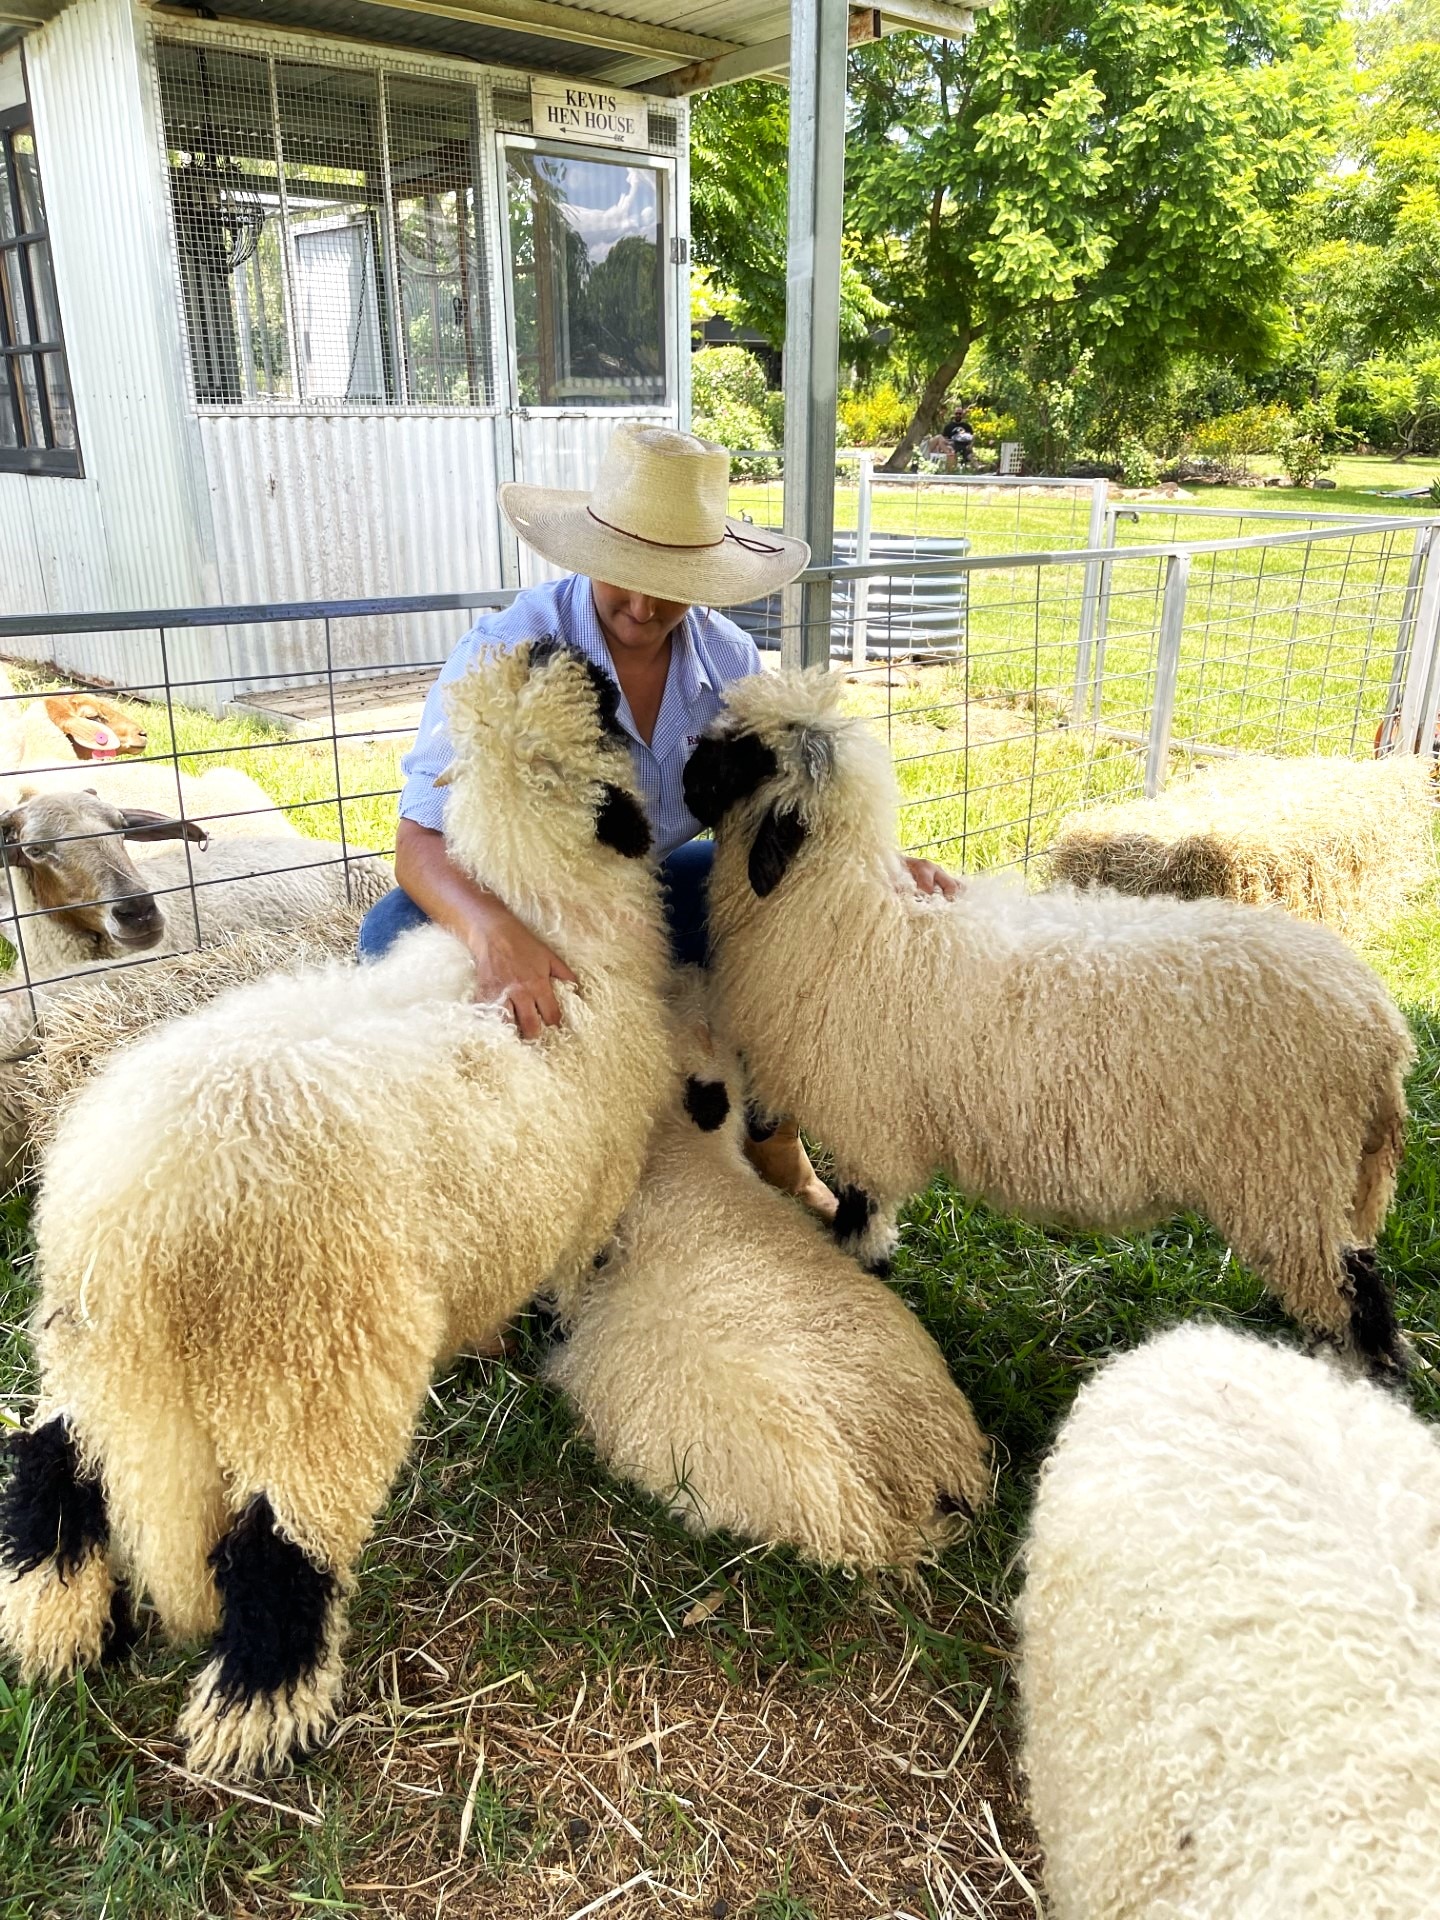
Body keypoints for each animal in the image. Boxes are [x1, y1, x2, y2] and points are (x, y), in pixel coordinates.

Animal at [0, 638, 674, 1780]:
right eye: (604, 708)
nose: (551, 641)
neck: (555, 918)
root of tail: (139, 1221)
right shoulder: (593, 1189)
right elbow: (568, 1276)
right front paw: (536, 1334)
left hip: (83, 1343)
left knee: (55, 1463)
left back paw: (52, 1627)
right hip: (315, 1360)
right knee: (283, 1544)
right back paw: (258, 1716)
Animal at [683, 667, 1417, 1376]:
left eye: (745, 758)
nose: (685, 772)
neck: (835, 913)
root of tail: (1381, 1023)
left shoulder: (870, 1127)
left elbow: (863, 1220)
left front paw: (862, 1271)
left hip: (1286, 1178)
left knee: (1357, 1299)